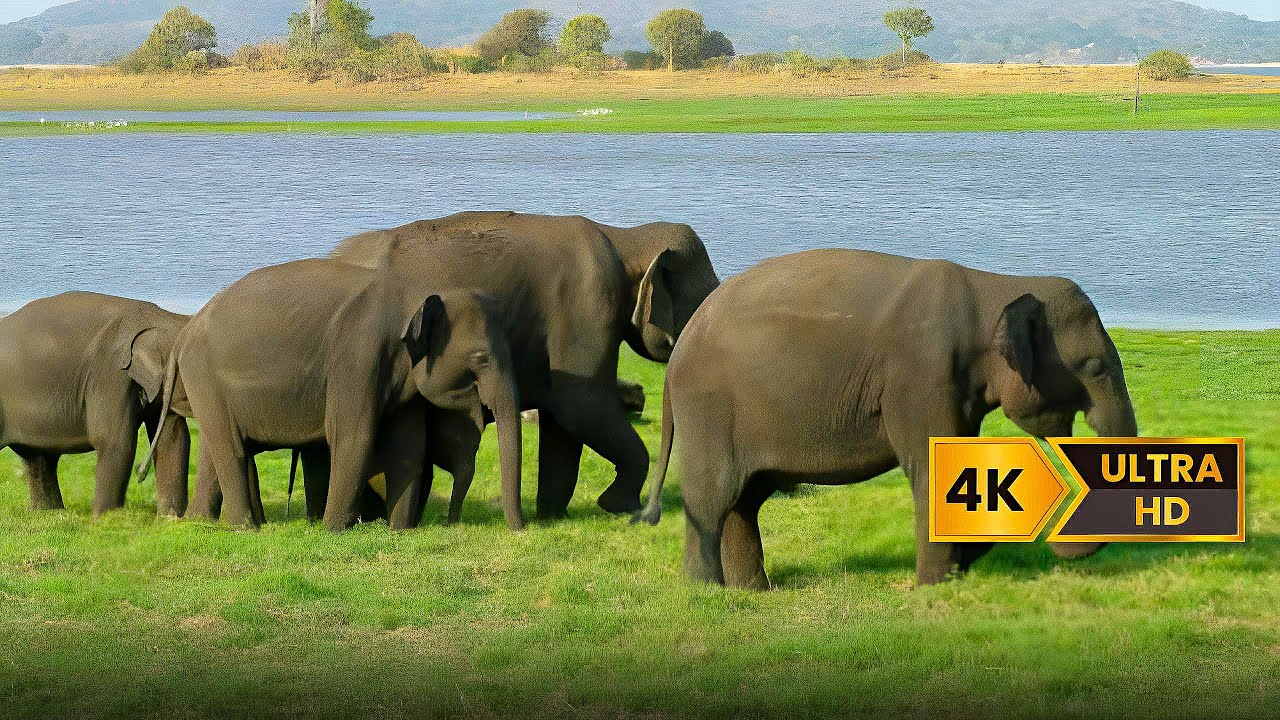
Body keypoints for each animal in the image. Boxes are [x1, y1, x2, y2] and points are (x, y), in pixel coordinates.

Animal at [0, 292, 191, 516]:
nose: (140, 474)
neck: (164, 317)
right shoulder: (111, 374)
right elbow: (115, 439)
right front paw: (105, 519)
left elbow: (173, 438)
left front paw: (170, 519)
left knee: (38, 458)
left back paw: (50, 514)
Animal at [146, 258, 523, 532]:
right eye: (482, 358)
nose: (519, 530)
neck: (416, 289)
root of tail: (185, 331)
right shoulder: (358, 354)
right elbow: (352, 435)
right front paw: (332, 531)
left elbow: (407, 449)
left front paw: (397, 532)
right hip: (205, 376)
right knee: (231, 447)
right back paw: (244, 528)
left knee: (221, 446)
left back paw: (207, 523)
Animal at [330, 211, 720, 518]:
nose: (650, 513)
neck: (627, 239)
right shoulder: (586, 311)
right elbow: (582, 406)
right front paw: (618, 506)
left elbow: (563, 427)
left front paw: (553, 516)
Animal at [639, 249, 1139, 588]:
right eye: (1096, 367)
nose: (1053, 545)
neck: (993, 287)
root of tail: (679, 351)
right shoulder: (920, 377)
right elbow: (933, 470)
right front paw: (934, 586)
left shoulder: (954, 388)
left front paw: (959, 569)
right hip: (709, 412)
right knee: (713, 499)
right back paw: (706, 592)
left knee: (745, 500)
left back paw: (752, 592)